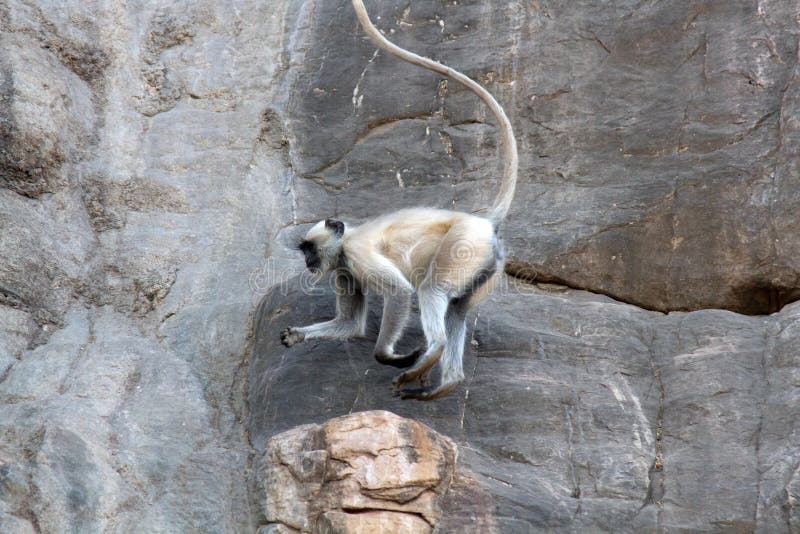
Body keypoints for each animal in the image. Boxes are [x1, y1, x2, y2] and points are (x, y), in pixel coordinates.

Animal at [279, 0, 518, 401]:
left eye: (309, 249)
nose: (309, 262)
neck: (346, 239)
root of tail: (484, 222)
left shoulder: (356, 253)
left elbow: (399, 292)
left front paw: (386, 355)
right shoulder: (344, 268)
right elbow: (350, 324)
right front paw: (296, 335)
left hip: (463, 244)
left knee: (431, 289)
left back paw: (431, 355)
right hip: (484, 267)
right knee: (456, 311)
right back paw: (446, 383)